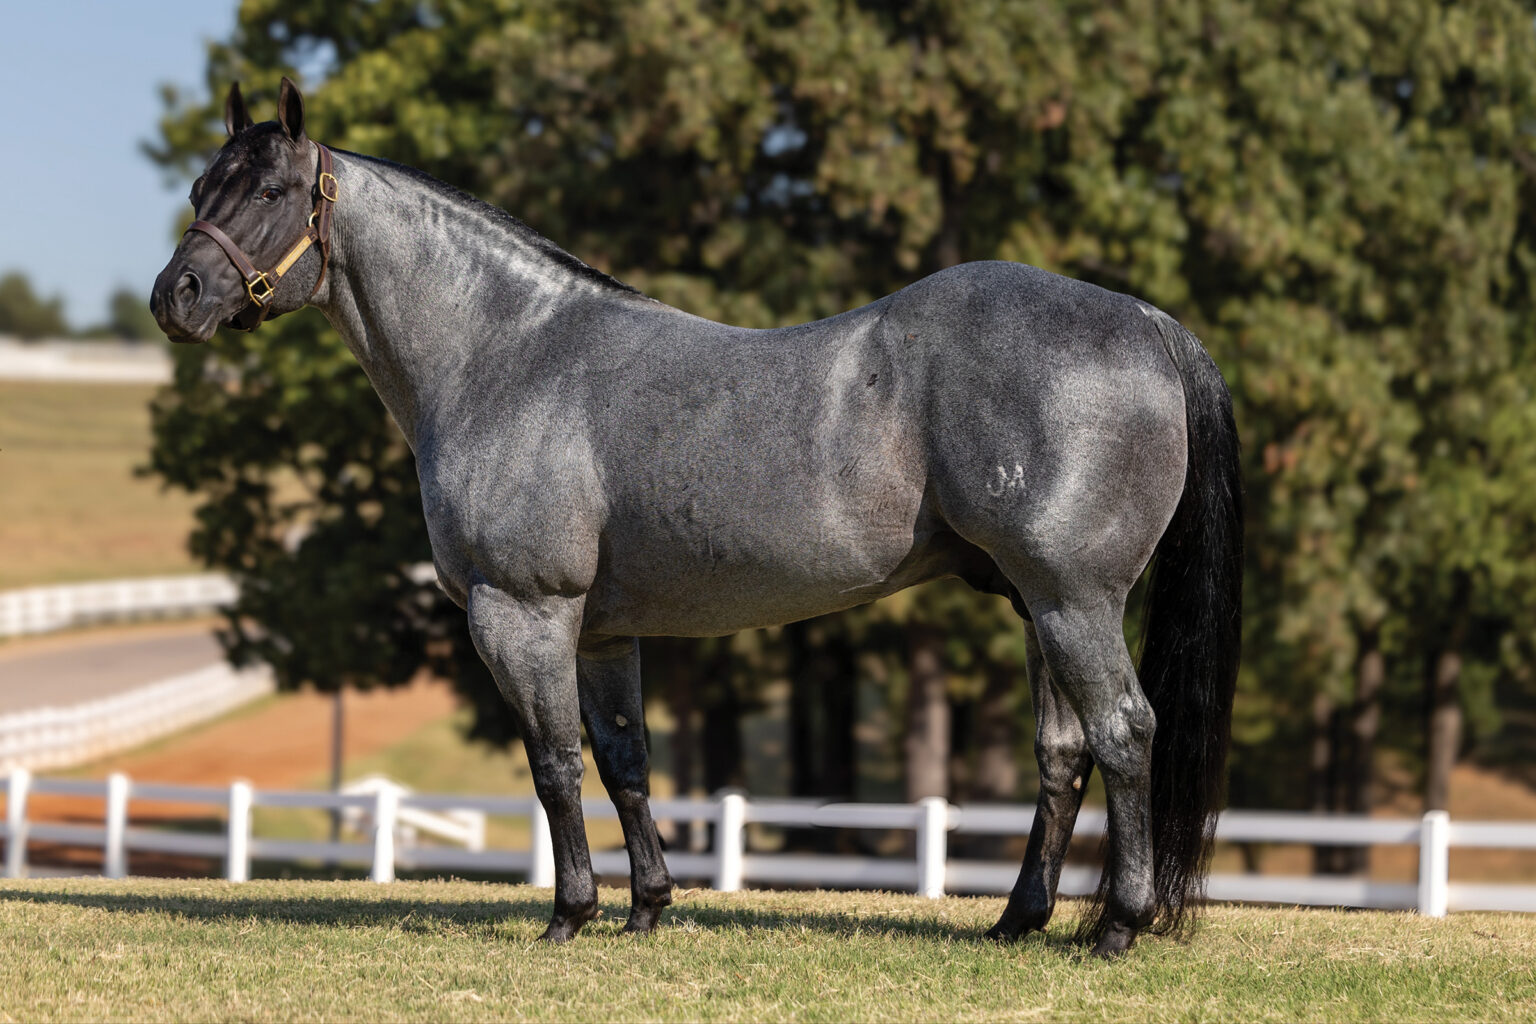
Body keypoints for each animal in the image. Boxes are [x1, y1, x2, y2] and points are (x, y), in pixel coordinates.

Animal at [151, 79, 1242, 958]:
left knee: (1125, 732)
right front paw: (647, 908)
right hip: (1036, 606)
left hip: (1074, 599)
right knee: (1065, 753)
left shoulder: (523, 613)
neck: (508, 353)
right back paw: (1019, 920)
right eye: (204, 186)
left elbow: (554, 765)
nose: (177, 296)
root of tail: (1148, 322)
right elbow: (627, 761)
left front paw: (571, 914)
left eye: (270, 193)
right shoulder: (602, 629)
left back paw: (1114, 928)